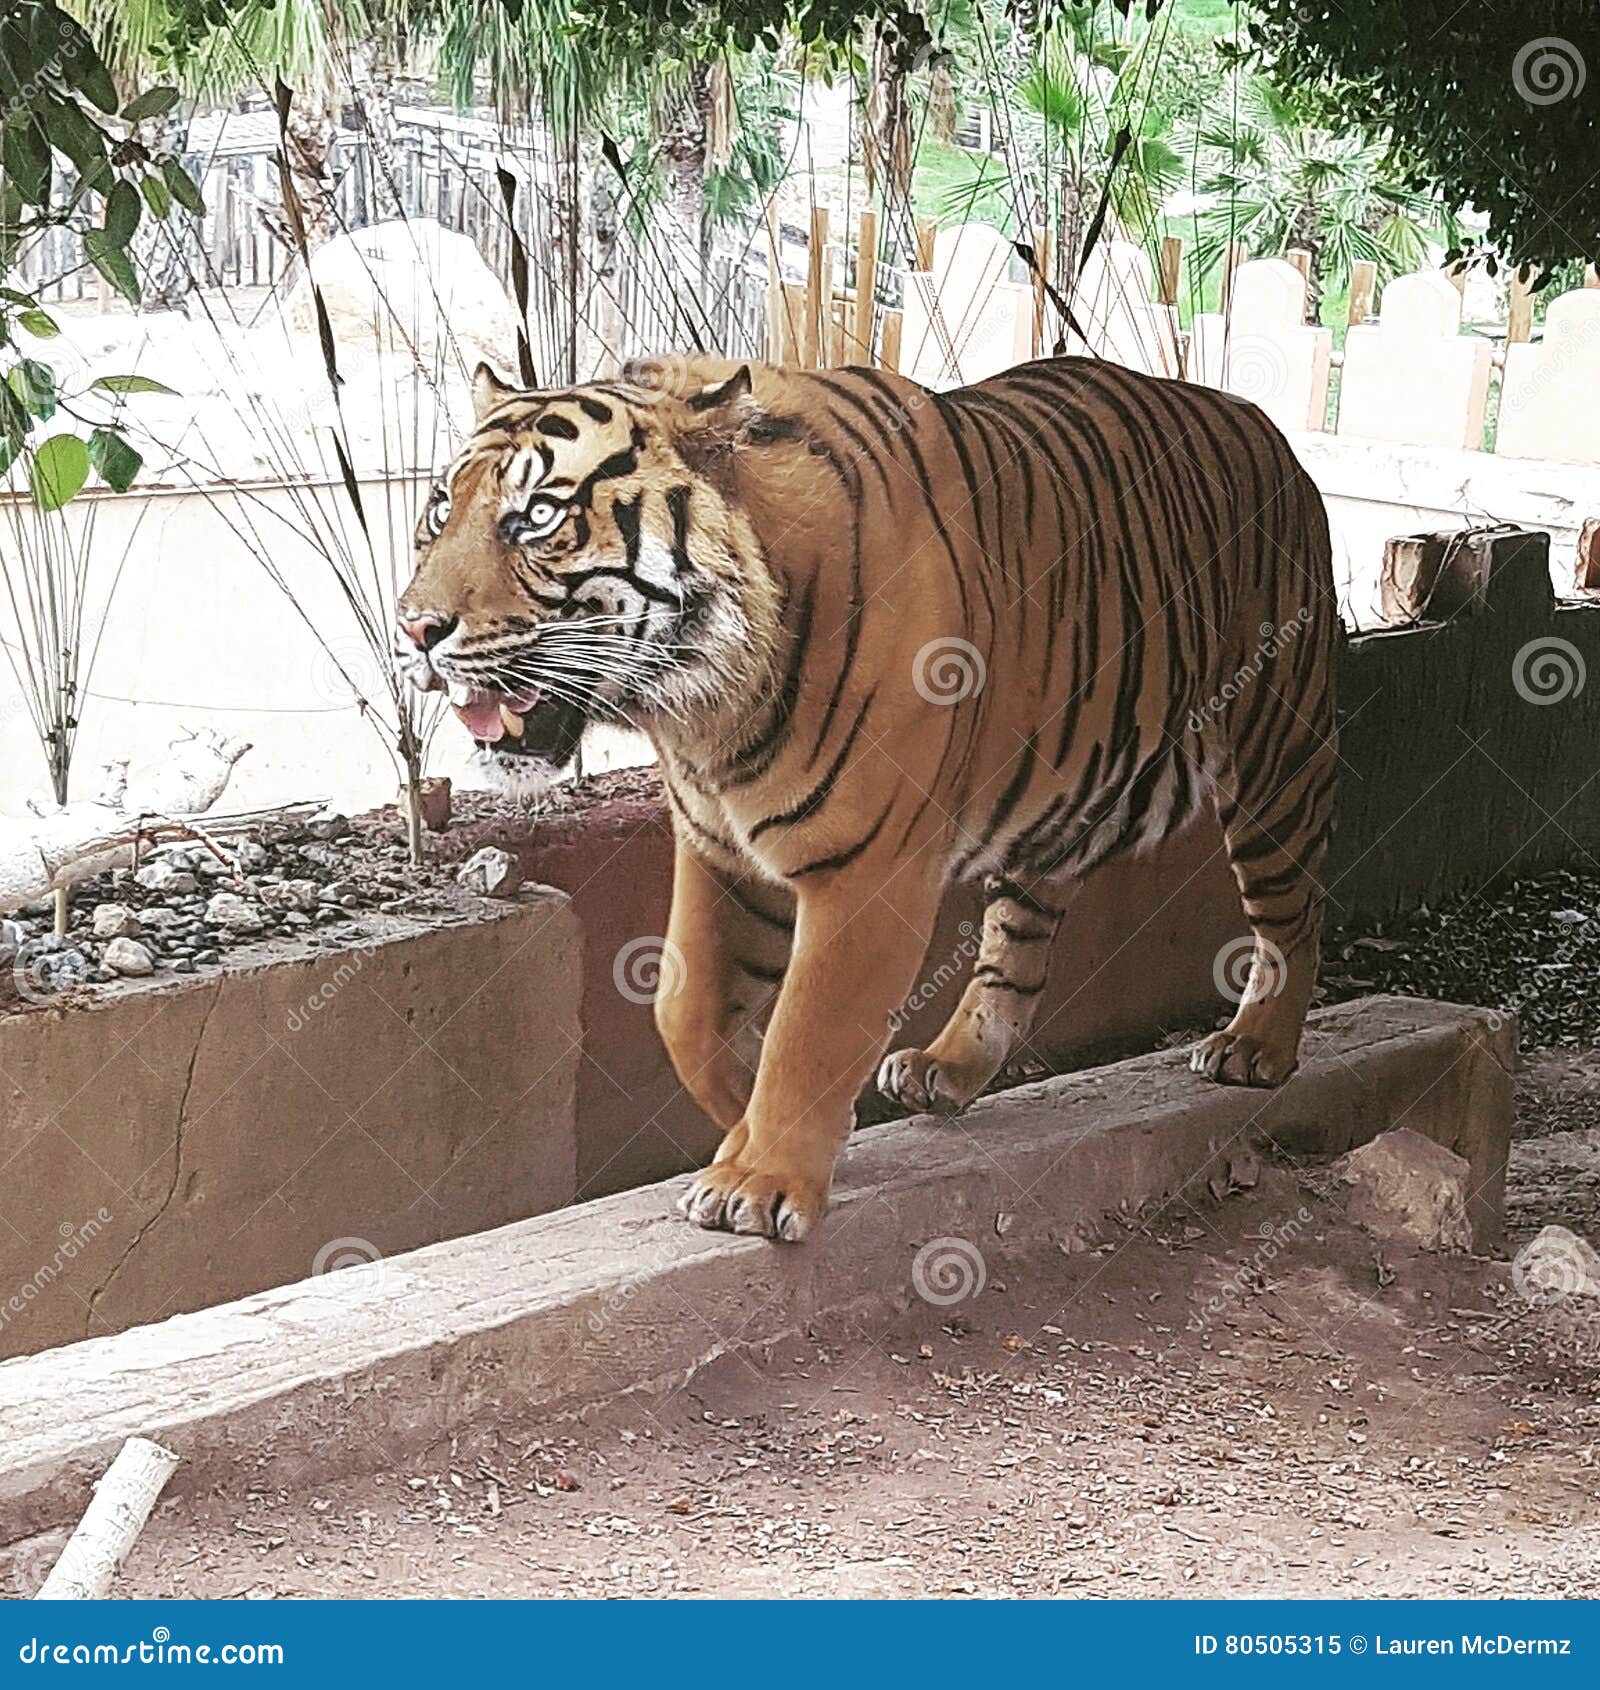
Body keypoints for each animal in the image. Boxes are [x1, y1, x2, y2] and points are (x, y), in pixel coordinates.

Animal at [397, 352, 1339, 1244]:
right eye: (440, 511)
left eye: (536, 517)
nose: (414, 629)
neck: (699, 709)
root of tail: (1265, 426)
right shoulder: (720, 850)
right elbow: (684, 1011)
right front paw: (754, 1124)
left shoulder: (866, 872)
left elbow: (808, 1027)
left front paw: (758, 1180)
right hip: (1054, 805)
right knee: (1016, 948)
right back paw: (947, 1069)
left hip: (1275, 759)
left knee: (1292, 916)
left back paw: (1255, 1046)